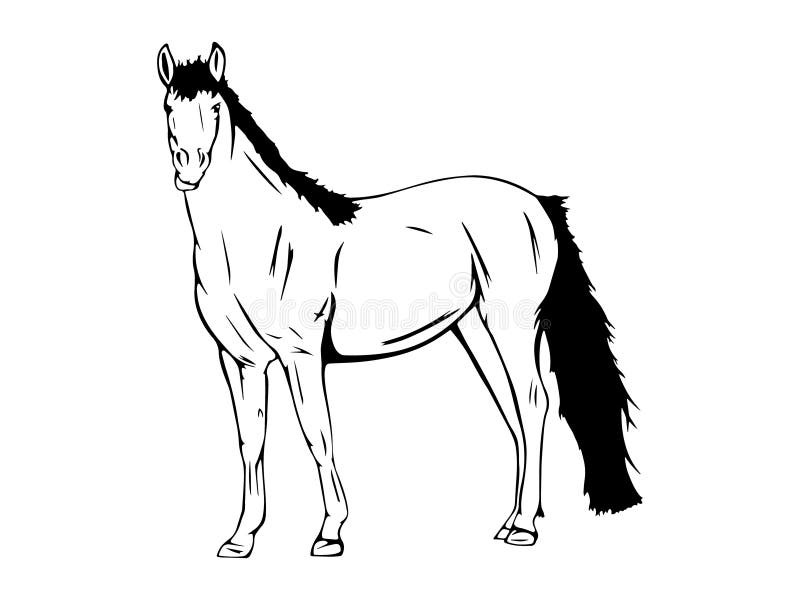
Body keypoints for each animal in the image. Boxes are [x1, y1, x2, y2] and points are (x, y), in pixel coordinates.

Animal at [156, 42, 641, 558]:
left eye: (214, 108)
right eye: (168, 107)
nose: (188, 167)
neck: (260, 238)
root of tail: (538, 203)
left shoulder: (301, 354)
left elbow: (317, 435)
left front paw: (330, 532)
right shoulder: (239, 359)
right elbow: (251, 442)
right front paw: (241, 538)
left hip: (510, 326)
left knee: (533, 405)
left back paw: (525, 528)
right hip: (474, 329)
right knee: (515, 414)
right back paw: (510, 520)